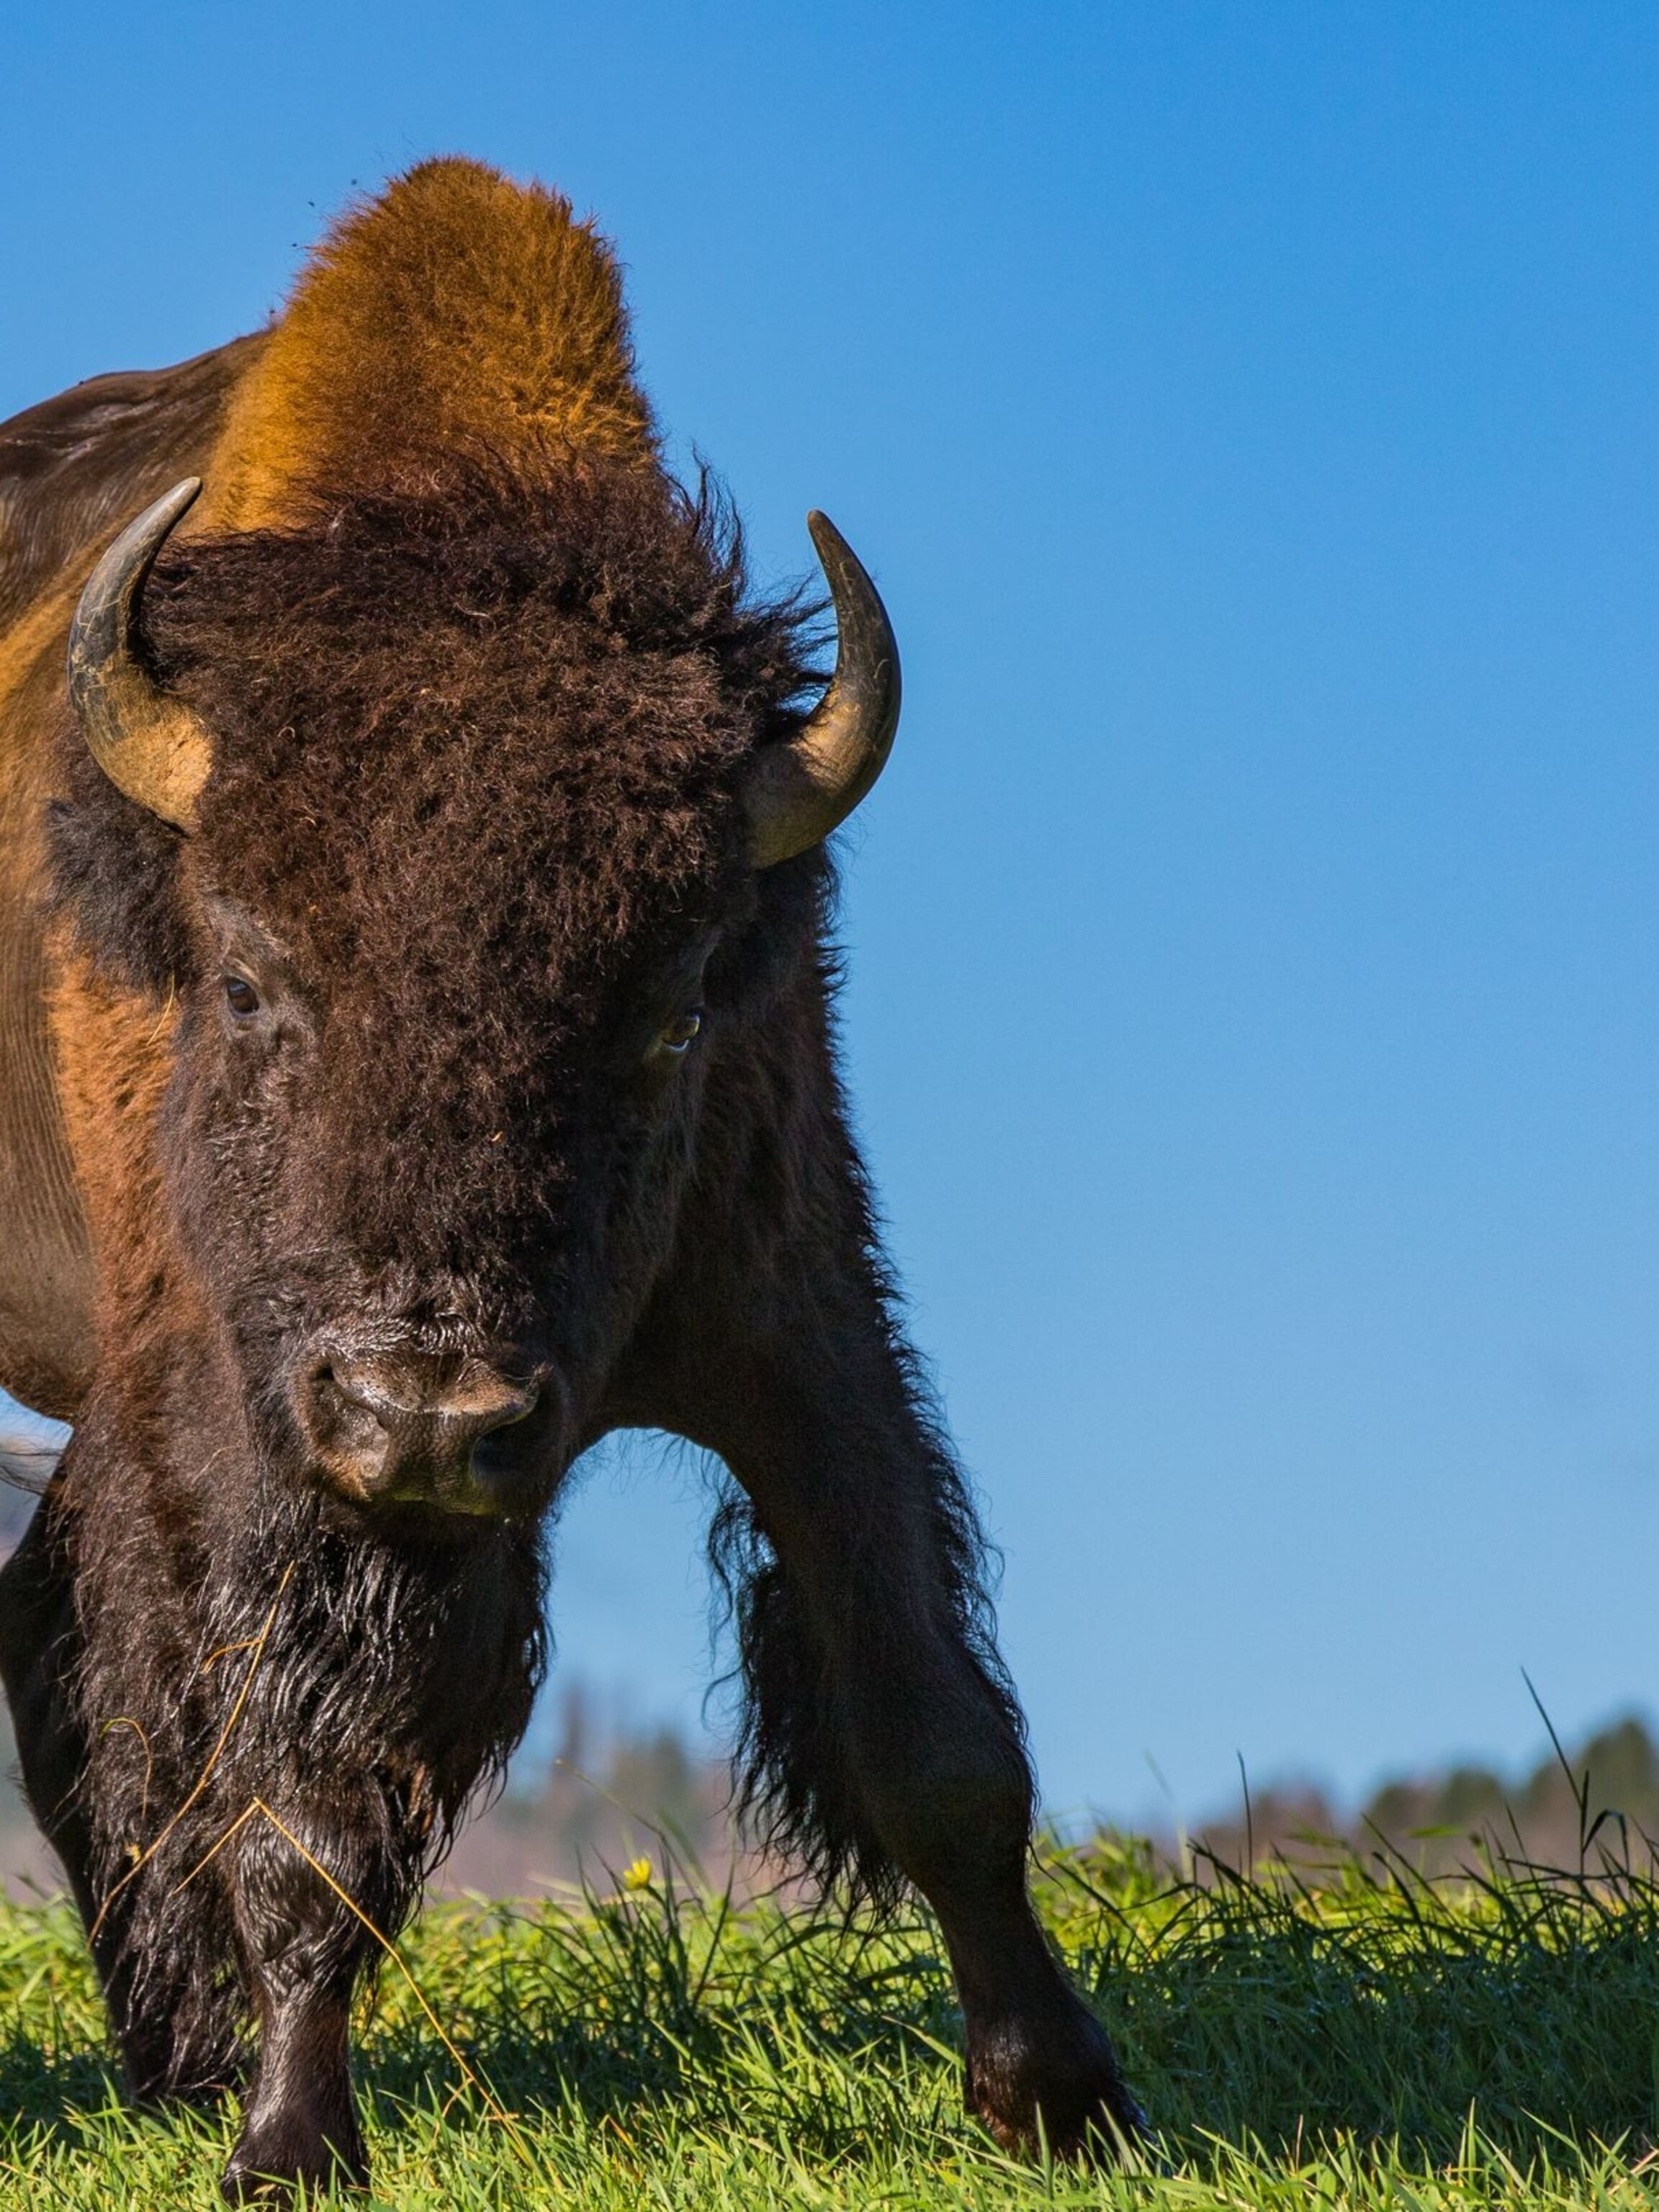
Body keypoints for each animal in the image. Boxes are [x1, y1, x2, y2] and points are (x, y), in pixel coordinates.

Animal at [0, 159, 1144, 2195]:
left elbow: (931, 1724)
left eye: (678, 1004)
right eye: (249, 974)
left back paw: (172, 2057)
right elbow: (305, 1805)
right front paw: (293, 2144)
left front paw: (1060, 2093)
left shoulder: (796, 1316)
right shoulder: (244, 1422)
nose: (432, 1414)